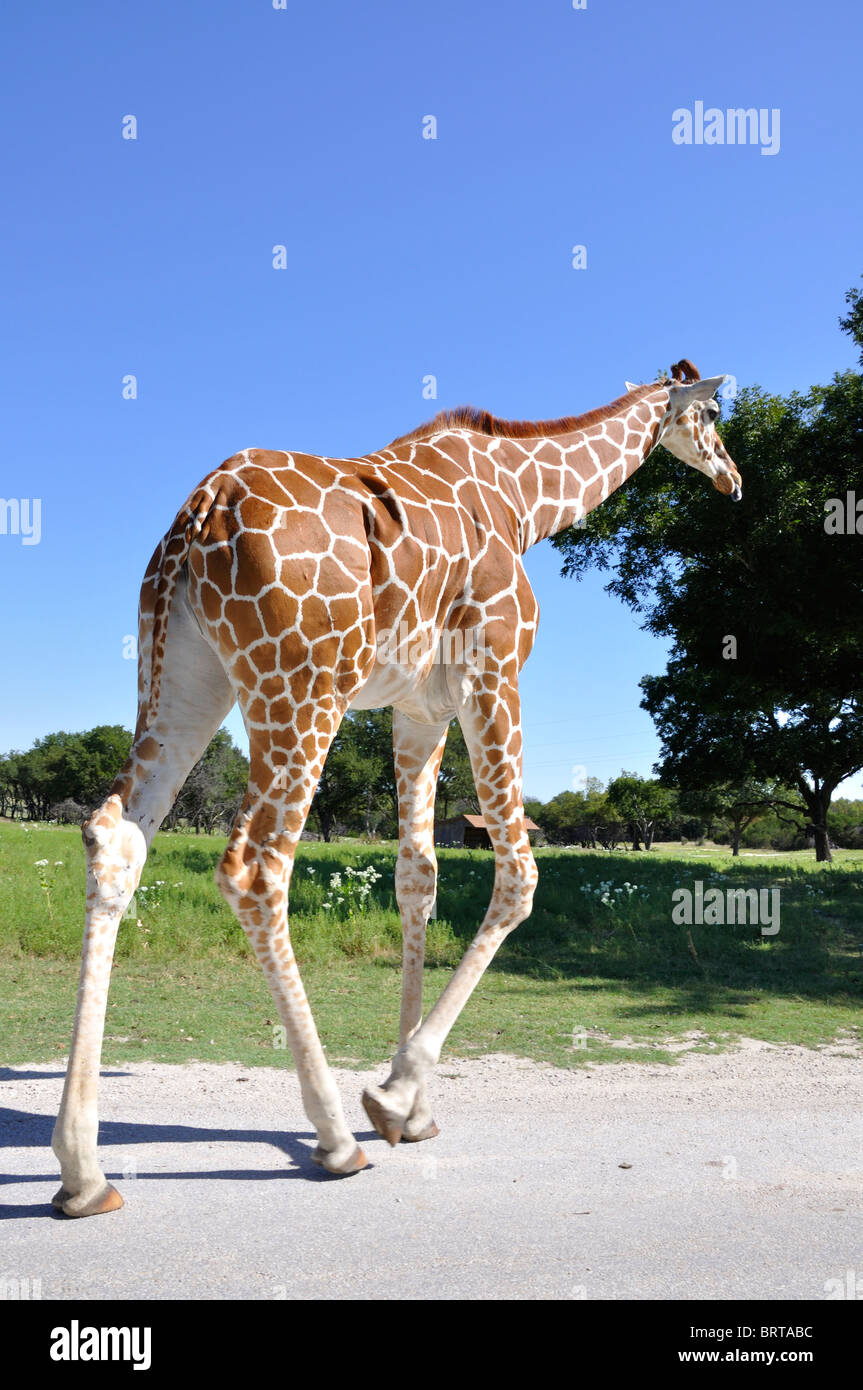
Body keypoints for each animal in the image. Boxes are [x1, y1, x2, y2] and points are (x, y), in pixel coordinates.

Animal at [51, 359, 741, 1215]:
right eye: (713, 413)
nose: (732, 479)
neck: (524, 500)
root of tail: (198, 517)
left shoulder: (417, 709)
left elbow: (418, 876)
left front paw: (412, 1108)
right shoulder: (493, 671)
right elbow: (518, 875)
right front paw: (394, 1093)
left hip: (182, 676)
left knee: (115, 837)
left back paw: (83, 1171)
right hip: (302, 687)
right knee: (255, 868)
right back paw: (333, 1138)